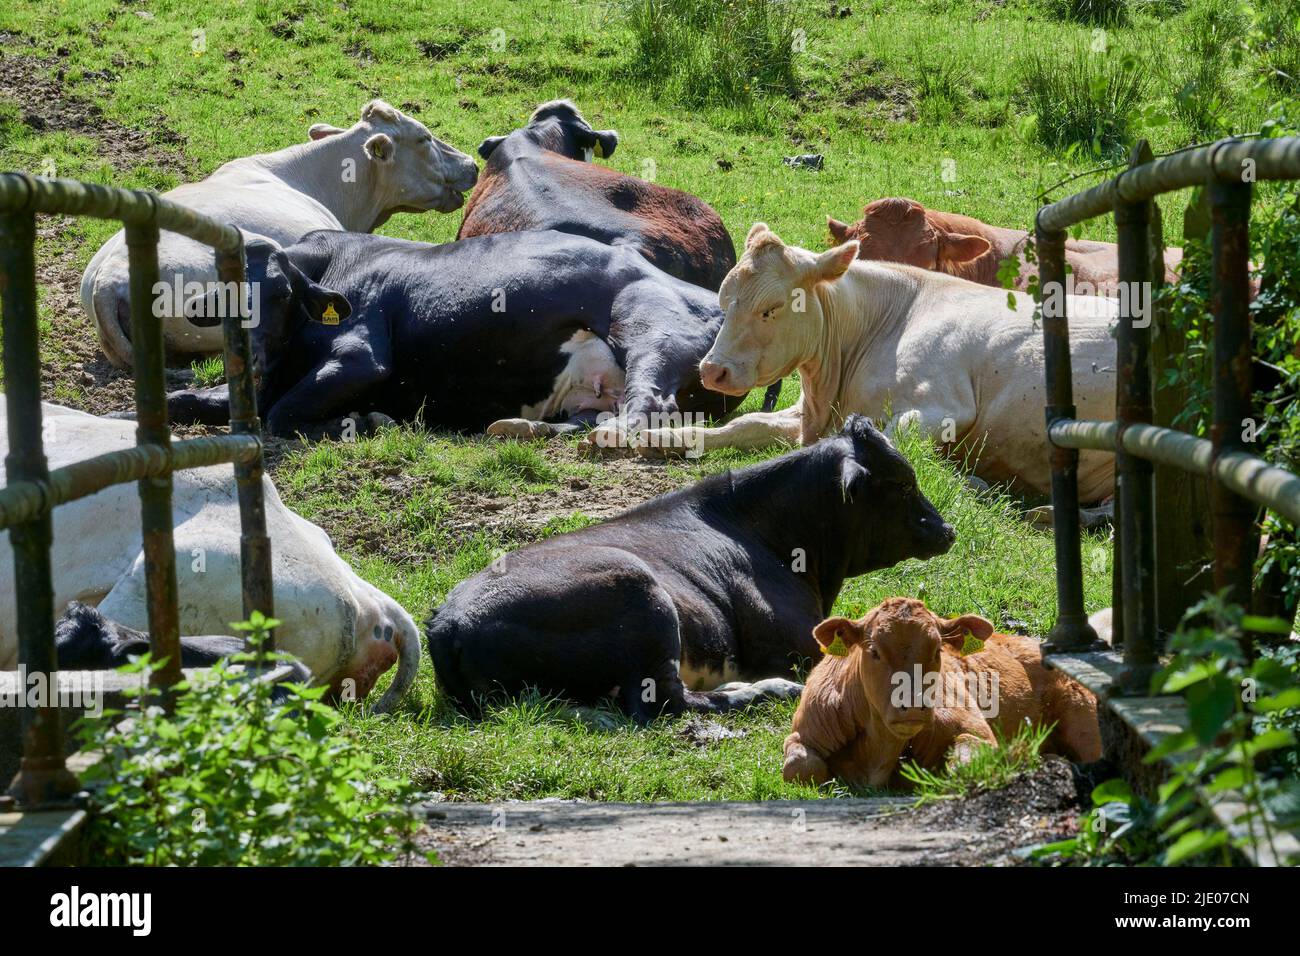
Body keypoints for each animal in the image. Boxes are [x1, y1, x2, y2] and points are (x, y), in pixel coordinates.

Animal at [163, 229, 741, 443]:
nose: (251, 360)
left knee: (649, 407)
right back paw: (519, 425)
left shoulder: (360, 357)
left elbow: (282, 416)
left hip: (649, 330)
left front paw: (364, 419)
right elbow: (185, 399)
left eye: (282, 295)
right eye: (225, 300)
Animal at [425, 416, 956, 723]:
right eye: (902, 485)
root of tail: (450, 619)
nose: (947, 530)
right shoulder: (796, 642)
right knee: (666, 702)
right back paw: (766, 689)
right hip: (641, 595)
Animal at [637, 223, 1120, 502]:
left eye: (771, 308)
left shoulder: (941, 407)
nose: (711, 370)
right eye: (724, 298)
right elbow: (741, 425)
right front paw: (644, 435)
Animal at [782, 597, 1102, 788]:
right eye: (874, 651)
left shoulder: (977, 731)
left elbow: (964, 766)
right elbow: (800, 767)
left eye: (937, 651)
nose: (911, 705)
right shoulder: (805, 732)